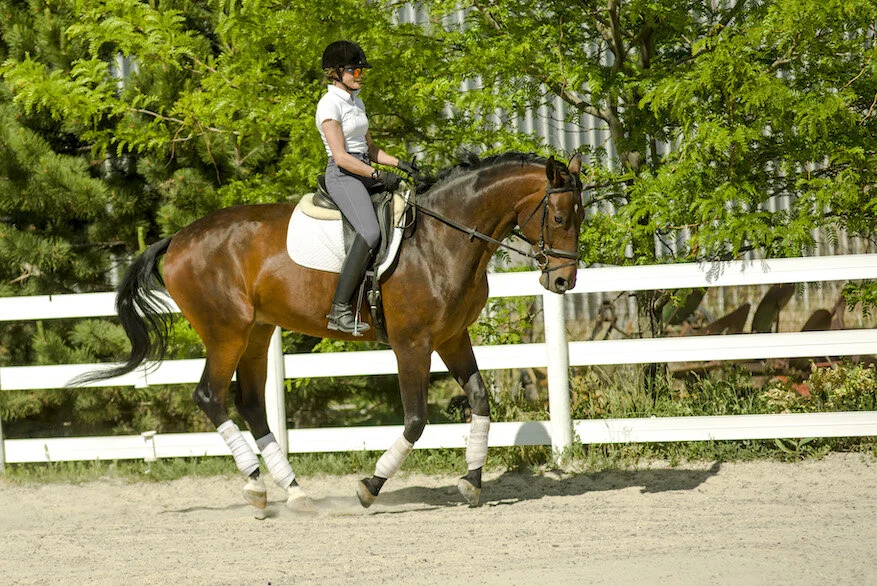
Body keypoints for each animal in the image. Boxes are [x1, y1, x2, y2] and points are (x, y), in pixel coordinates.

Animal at [76, 151, 584, 510]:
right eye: (560, 217)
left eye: (580, 218)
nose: (563, 282)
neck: (443, 240)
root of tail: (178, 238)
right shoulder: (412, 345)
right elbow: (416, 420)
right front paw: (370, 486)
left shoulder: (452, 338)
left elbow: (480, 401)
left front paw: (471, 482)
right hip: (226, 333)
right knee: (210, 396)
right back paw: (257, 489)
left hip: (257, 333)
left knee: (250, 403)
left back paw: (295, 493)